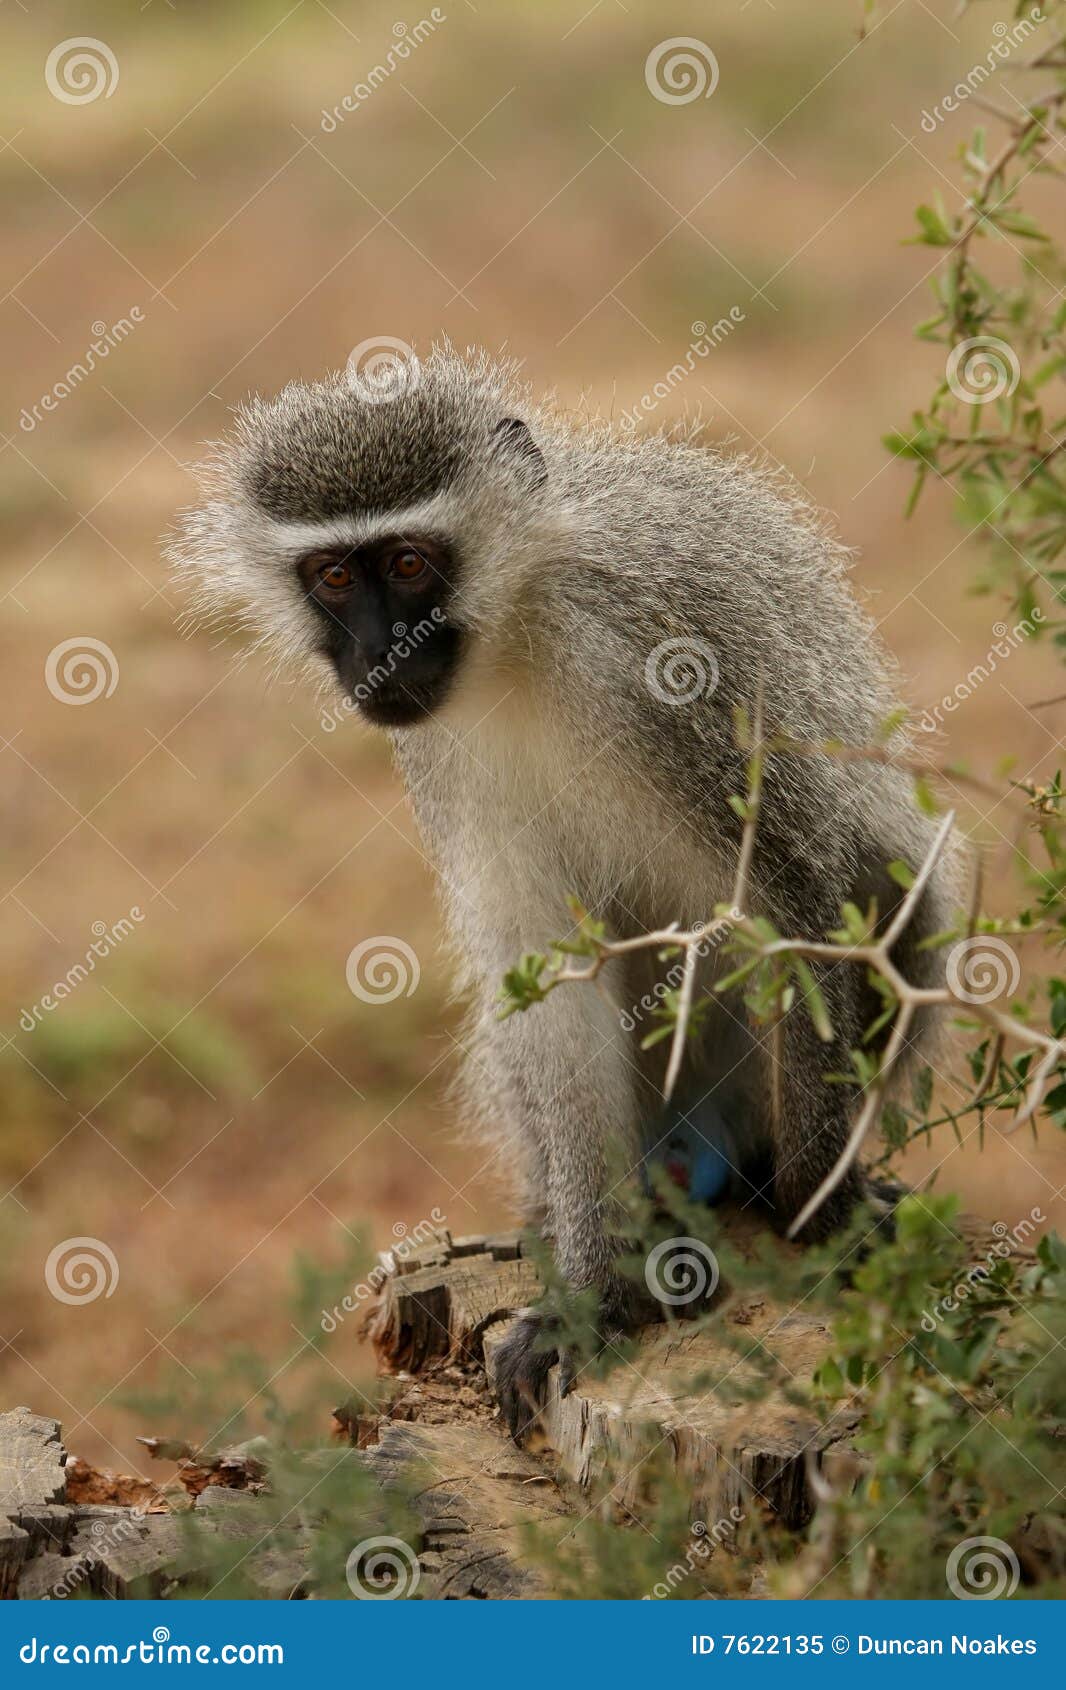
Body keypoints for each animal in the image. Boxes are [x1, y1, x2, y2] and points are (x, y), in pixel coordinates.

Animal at [169, 345, 962, 1439]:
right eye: (332, 575)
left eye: (409, 563)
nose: (379, 654)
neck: (514, 630)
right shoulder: (438, 751)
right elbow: (549, 981)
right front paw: (592, 1296)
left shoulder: (665, 655)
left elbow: (791, 890)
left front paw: (826, 1211)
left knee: (896, 880)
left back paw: (770, 1179)